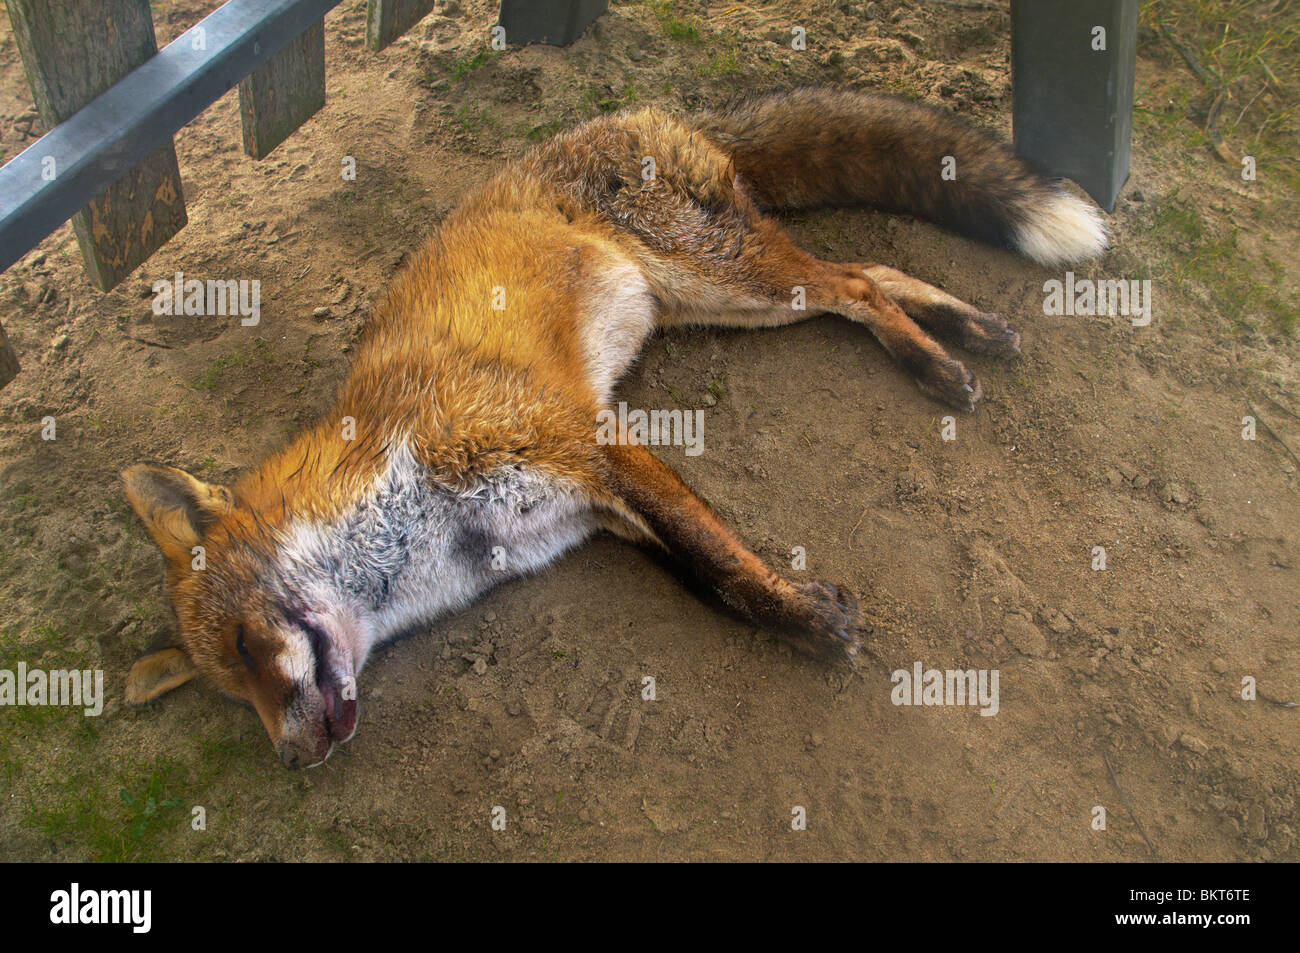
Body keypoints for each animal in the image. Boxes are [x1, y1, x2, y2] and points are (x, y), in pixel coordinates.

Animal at [122, 88, 1106, 768]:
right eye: (231, 691)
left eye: (246, 647)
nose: (293, 760)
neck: (430, 532)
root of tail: (659, 109)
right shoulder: (592, 517)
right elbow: (705, 577)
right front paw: (797, 614)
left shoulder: (586, 444)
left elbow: (722, 562)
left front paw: (807, 619)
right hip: (727, 303)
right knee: (869, 271)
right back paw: (970, 331)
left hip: (731, 280)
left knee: (857, 283)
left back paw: (939, 360)